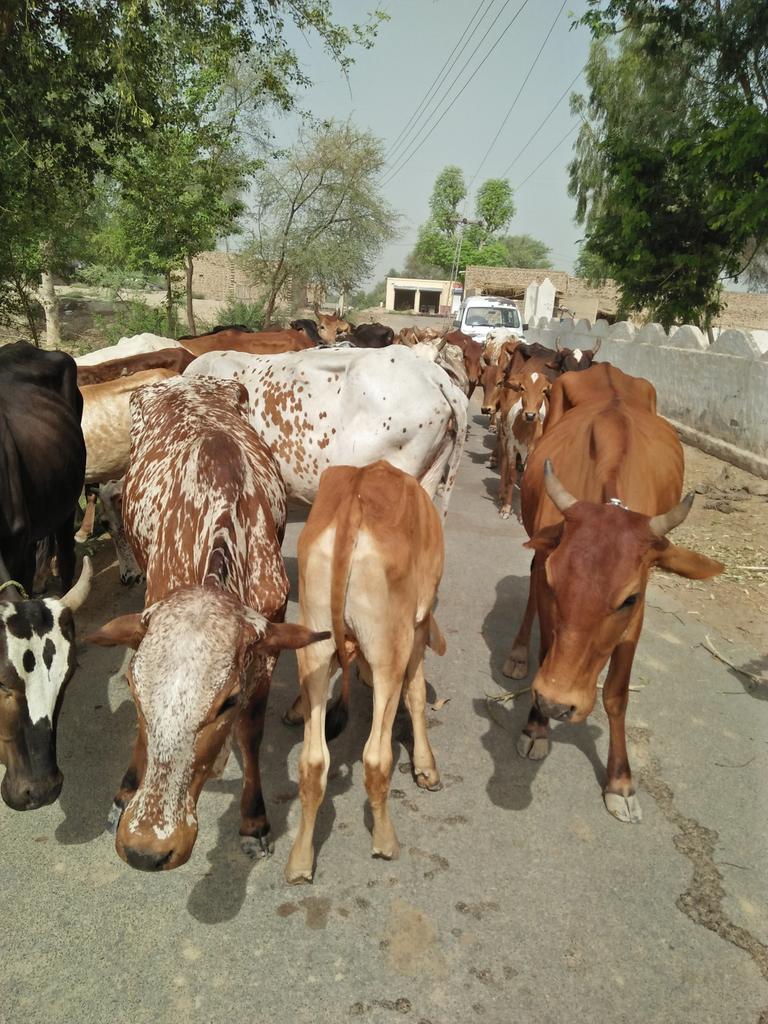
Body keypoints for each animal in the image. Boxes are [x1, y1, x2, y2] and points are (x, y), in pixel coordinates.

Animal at [86, 376, 327, 871]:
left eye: (226, 702)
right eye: (134, 691)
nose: (146, 848)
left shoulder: (268, 639)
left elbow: (250, 731)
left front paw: (253, 823)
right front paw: (124, 793)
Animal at [284, 461, 446, 884]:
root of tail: (354, 504)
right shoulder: (416, 629)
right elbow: (417, 695)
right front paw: (426, 766)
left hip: (314, 643)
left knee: (313, 762)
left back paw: (300, 860)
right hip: (391, 647)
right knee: (375, 758)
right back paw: (386, 842)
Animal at [496, 367, 551, 519]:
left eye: (544, 390)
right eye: (522, 388)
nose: (530, 415)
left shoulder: (532, 450)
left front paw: (522, 515)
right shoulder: (512, 446)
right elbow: (511, 476)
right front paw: (506, 508)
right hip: (504, 437)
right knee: (504, 463)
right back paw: (501, 493)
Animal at [503, 364, 722, 823]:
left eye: (629, 599)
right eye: (556, 583)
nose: (556, 704)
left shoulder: (636, 616)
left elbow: (618, 695)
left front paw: (620, 780)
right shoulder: (547, 581)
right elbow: (546, 640)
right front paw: (536, 726)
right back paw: (516, 654)